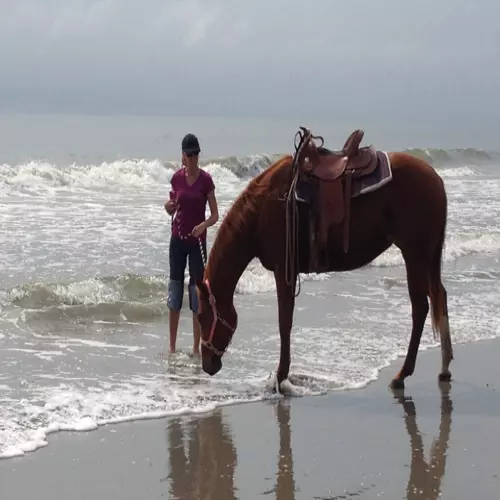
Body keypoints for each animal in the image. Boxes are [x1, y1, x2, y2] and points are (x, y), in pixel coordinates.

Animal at [195, 129, 454, 390]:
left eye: (201, 316)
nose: (208, 365)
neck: (264, 208)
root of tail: (435, 179)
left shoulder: (283, 270)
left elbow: (284, 323)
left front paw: (281, 375)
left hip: (415, 255)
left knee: (420, 308)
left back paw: (402, 374)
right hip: (427, 257)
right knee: (440, 296)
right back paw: (444, 367)